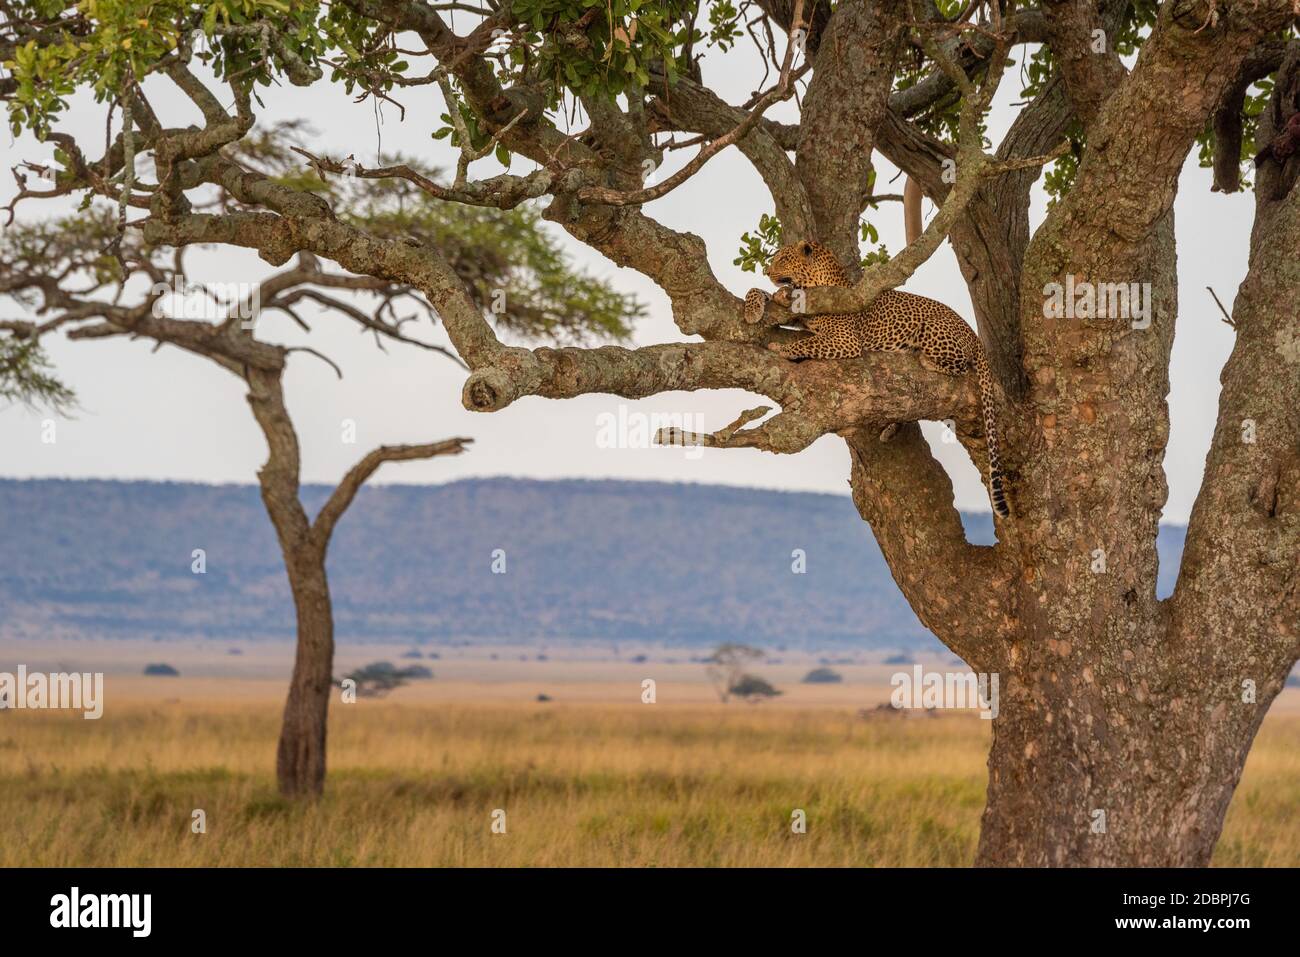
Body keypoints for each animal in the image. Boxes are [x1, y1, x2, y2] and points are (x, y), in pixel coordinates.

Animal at [745, 240, 1009, 518]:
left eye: (783, 258)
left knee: (959, 365)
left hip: (933, 328)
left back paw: (923, 359)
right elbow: (758, 291)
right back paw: (892, 427)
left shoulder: (845, 339)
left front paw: (782, 349)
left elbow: (807, 343)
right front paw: (753, 309)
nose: (767, 271)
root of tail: (973, 333)